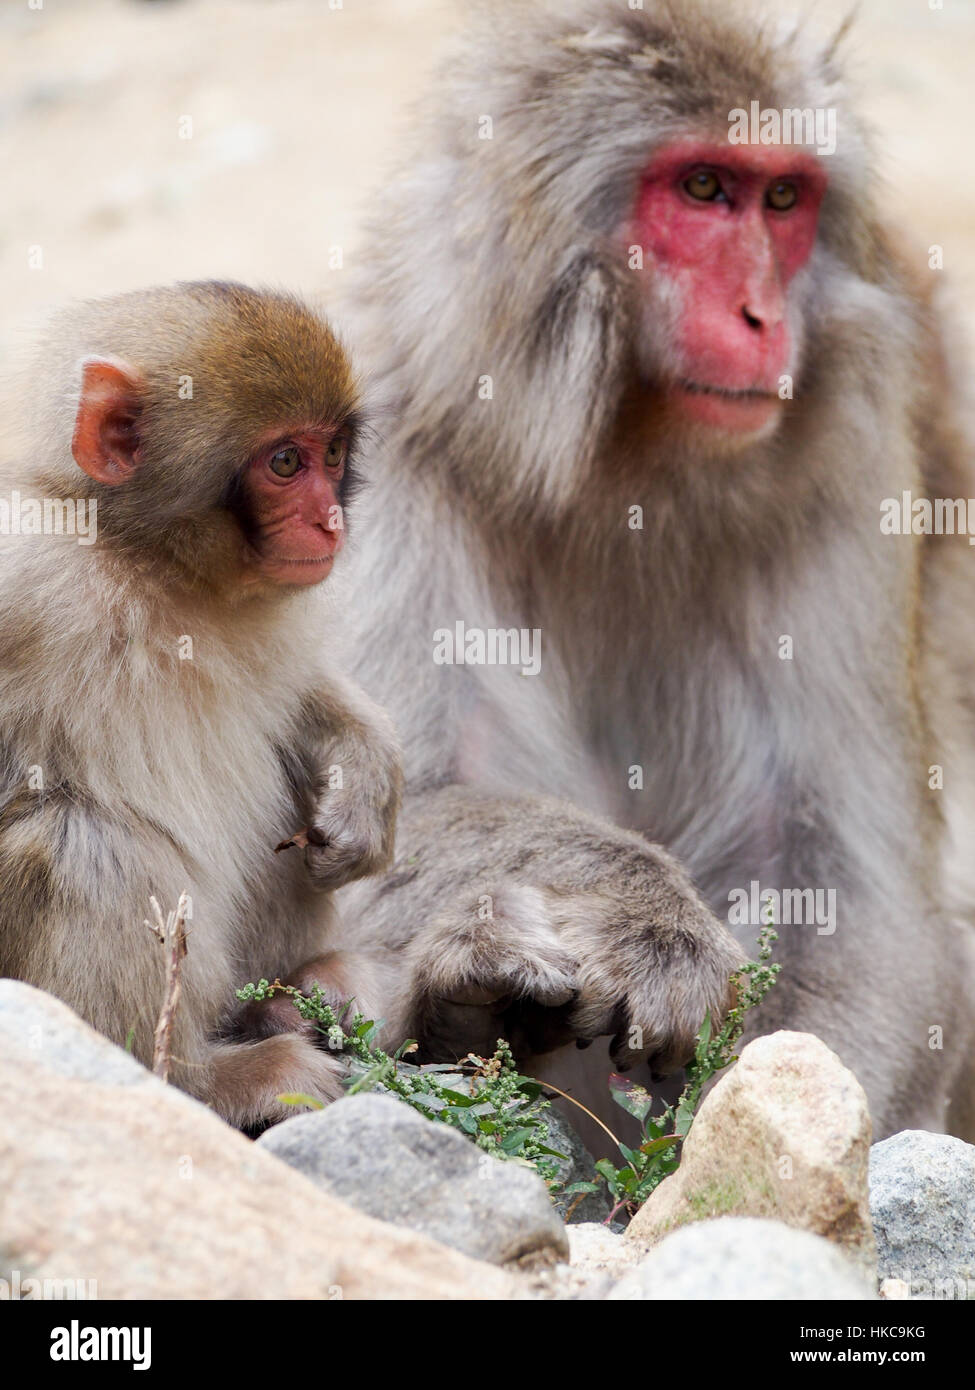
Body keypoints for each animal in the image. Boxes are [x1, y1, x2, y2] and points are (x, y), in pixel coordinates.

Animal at [0, 281, 402, 1129]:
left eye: (332, 456)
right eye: (284, 463)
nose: (332, 522)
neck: (151, 564)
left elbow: (294, 698)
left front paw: (368, 773)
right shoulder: (23, 578)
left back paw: (296, 989)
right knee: (86, 840)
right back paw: (206, 1080)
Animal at [326, 0, 975, 1144]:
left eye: (783, 199)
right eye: (703, 189)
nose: (766, 318)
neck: (627, 456)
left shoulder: (853, 457)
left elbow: (856, 889)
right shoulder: (385, 437)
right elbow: (387, 811)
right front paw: (639, 911)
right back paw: (474, 1004)